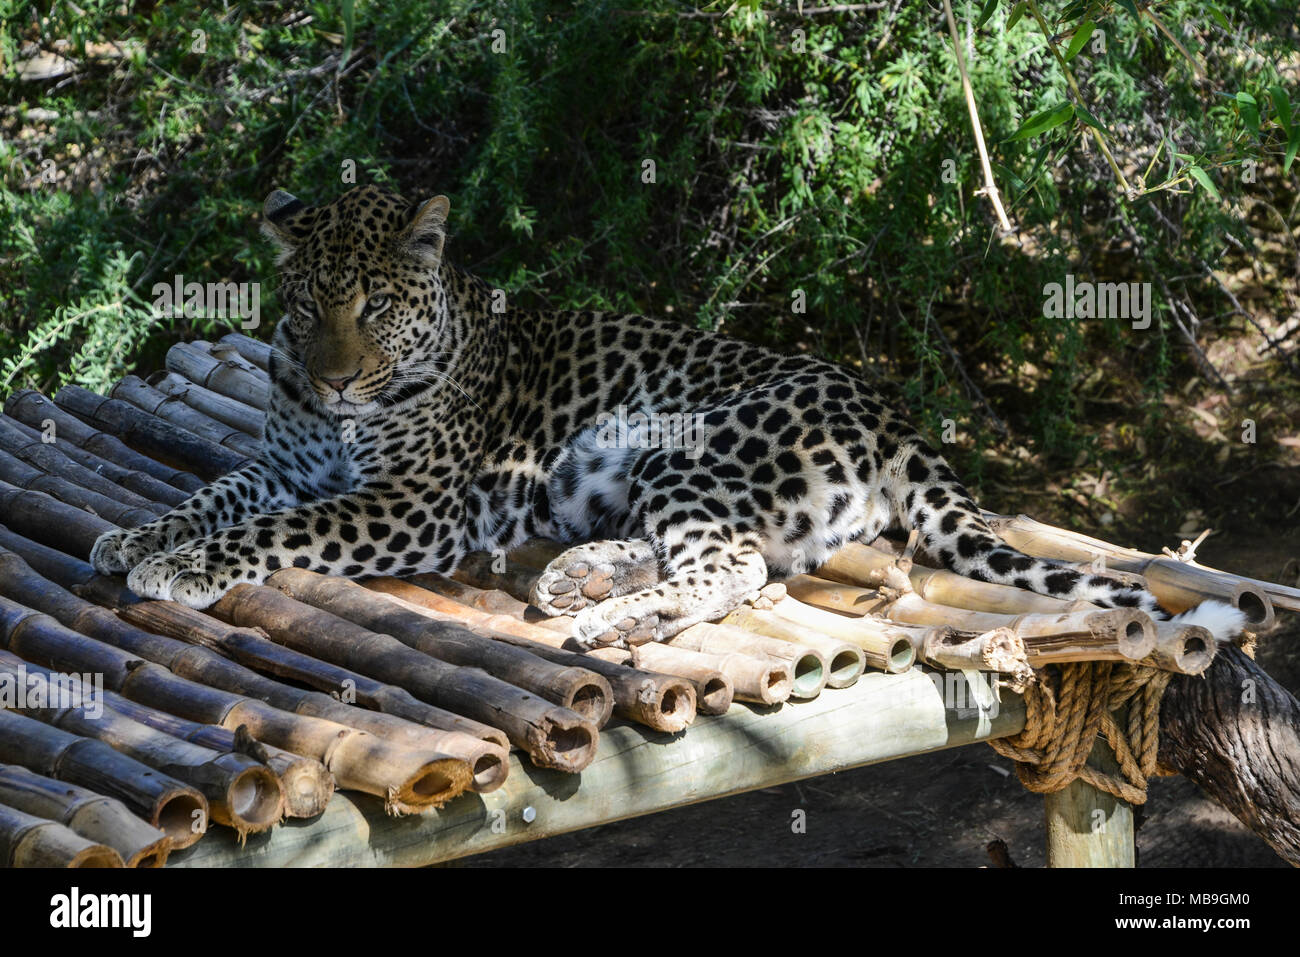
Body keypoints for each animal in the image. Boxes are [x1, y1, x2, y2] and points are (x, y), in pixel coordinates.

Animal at [90, 184, 1246, 647]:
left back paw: (609, 617)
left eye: (375, 306)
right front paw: (138, 533)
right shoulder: (287, 461)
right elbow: (221, 490)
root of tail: (891, 406)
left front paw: (184, 565)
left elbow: (280, 527)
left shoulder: (411, 502)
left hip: (688, 444)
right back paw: (583, 577)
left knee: (732, 567)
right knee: (744, 553)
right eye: (304, 306)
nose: (332, 381)